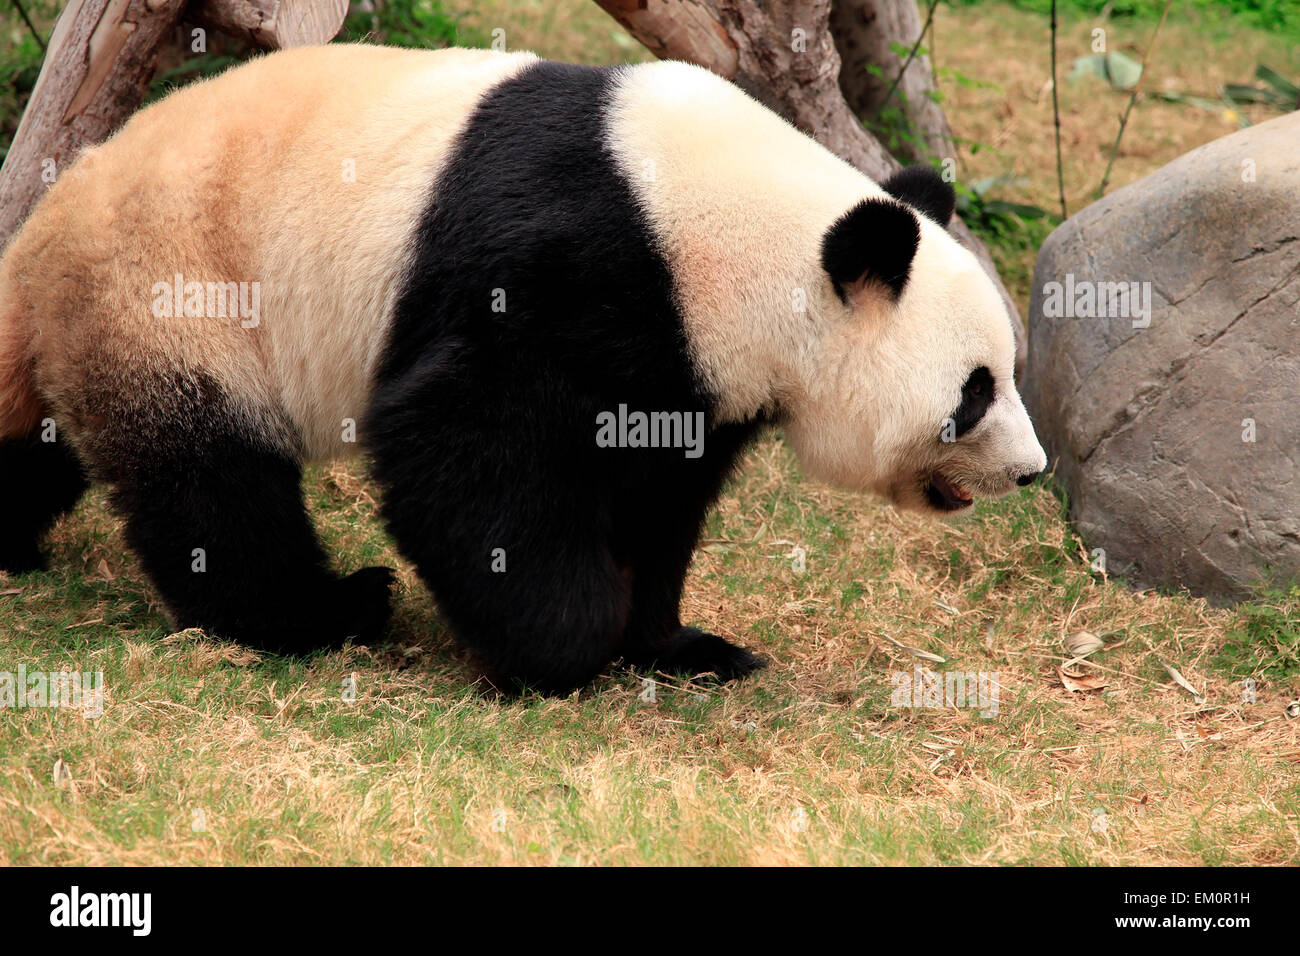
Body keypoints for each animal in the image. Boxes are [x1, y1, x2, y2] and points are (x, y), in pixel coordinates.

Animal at [0, 45, 1046, 694]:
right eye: (976, 391)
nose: (1031, 471)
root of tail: (45, 226)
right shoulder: (573, 268)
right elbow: (461, 444)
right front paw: (559, 647)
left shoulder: (685, 363)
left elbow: (656, 496)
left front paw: (676, 645)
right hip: (174, 292)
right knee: (213, 483)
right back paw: (325, 609)